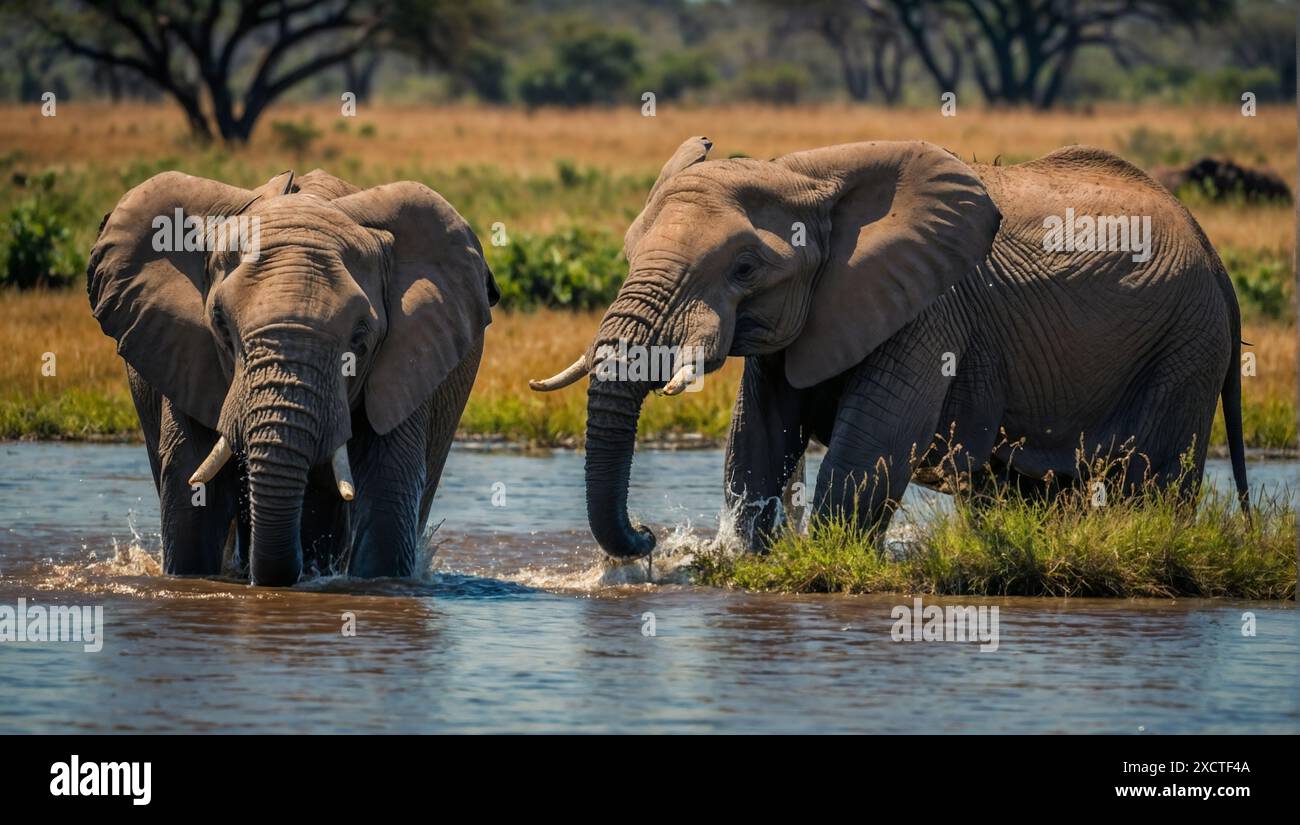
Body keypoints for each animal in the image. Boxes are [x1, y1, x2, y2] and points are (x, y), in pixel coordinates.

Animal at [530, 137, 1249, 557]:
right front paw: (743, 561)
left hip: (1186, 346)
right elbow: (754, 439)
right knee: (1032, 486)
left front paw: (822, 565)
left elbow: (870, 447)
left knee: (1152, 483)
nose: (647, 536)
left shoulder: (931, 311)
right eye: (628, 253)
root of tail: (1215, 254)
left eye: (744, 268)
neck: (805, 175)